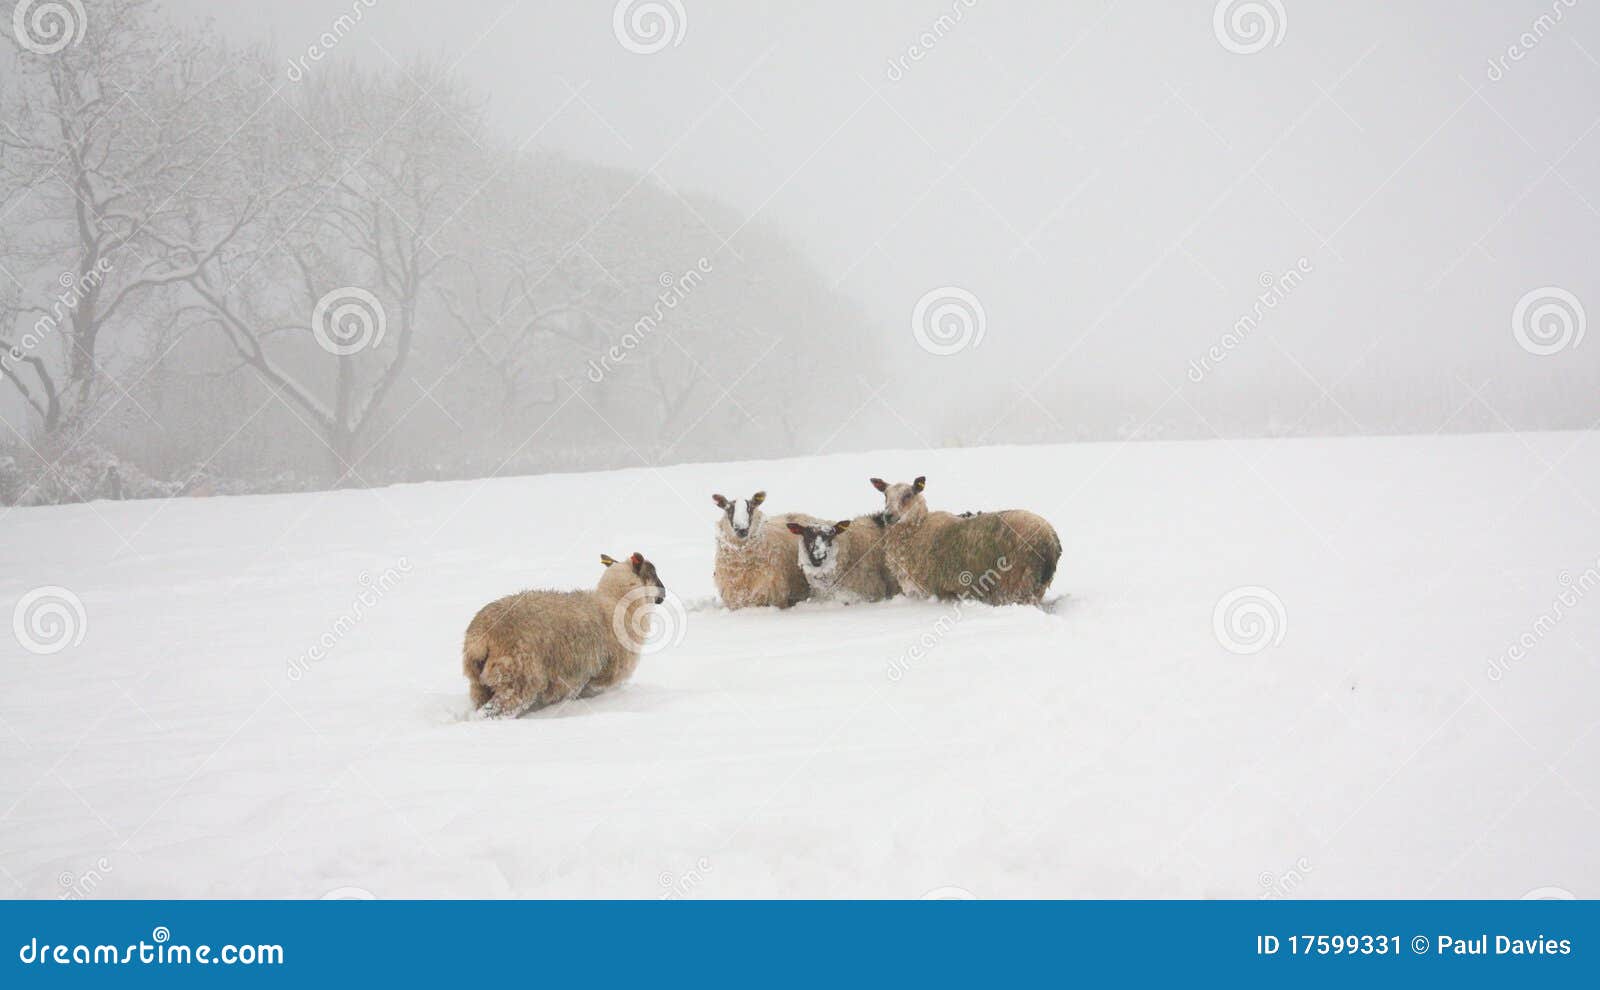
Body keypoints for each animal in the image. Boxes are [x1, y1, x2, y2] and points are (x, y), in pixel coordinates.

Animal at [462, 552, 667, 719]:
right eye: (653, 573)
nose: (664, 593)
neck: (617, 603)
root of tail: (482, 635)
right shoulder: (602, 673)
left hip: (479, 683)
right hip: (518, 678)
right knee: (493, 712)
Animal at [870, 476, 1060, 606]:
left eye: (908, 495)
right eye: (885, 495)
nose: (887, 516)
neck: (917, 531)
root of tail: (1049, 538)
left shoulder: (935, 591)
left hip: (1019, 584)